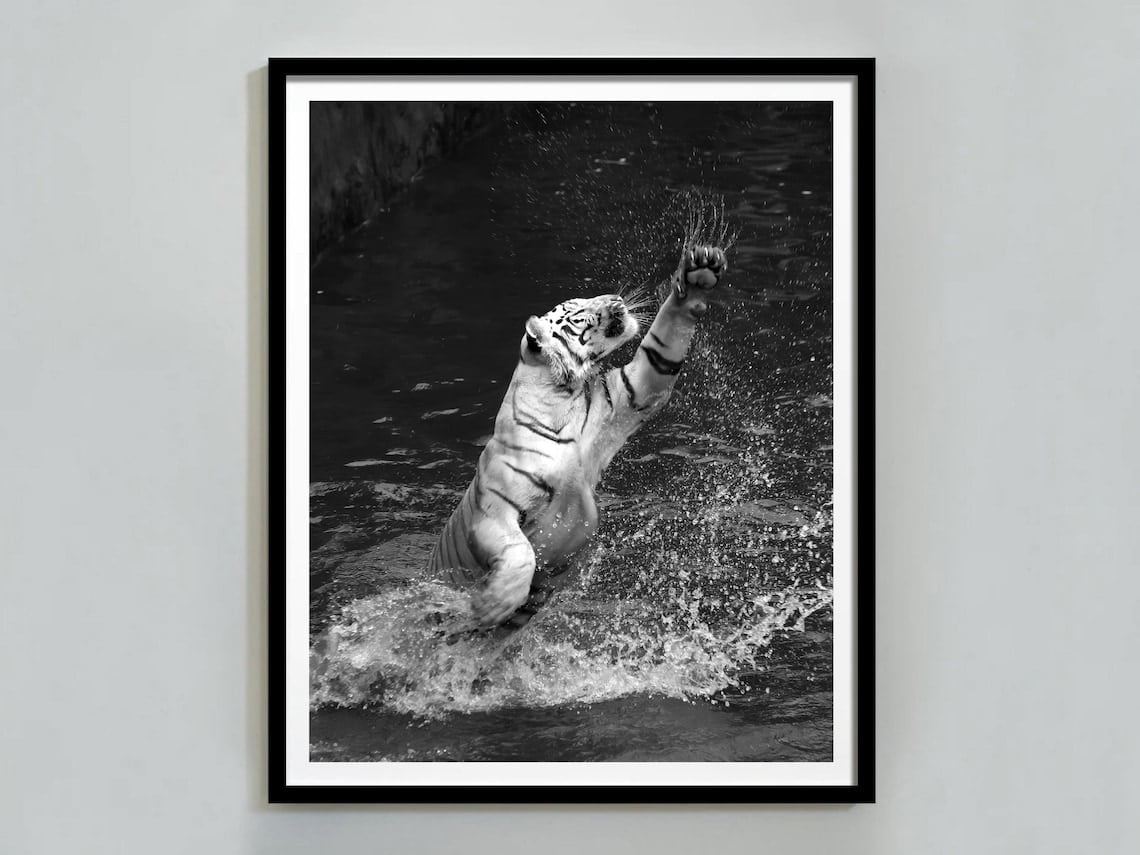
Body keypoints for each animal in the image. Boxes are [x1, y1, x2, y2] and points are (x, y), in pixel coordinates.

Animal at [428, 243, 728, 629]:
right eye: (578, 313)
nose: (617, 298)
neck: (559, 401)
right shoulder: (493, 509)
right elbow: (521, 553)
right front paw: (490, 604)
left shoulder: (631, 392)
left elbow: (658, 353)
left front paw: (697, 274)